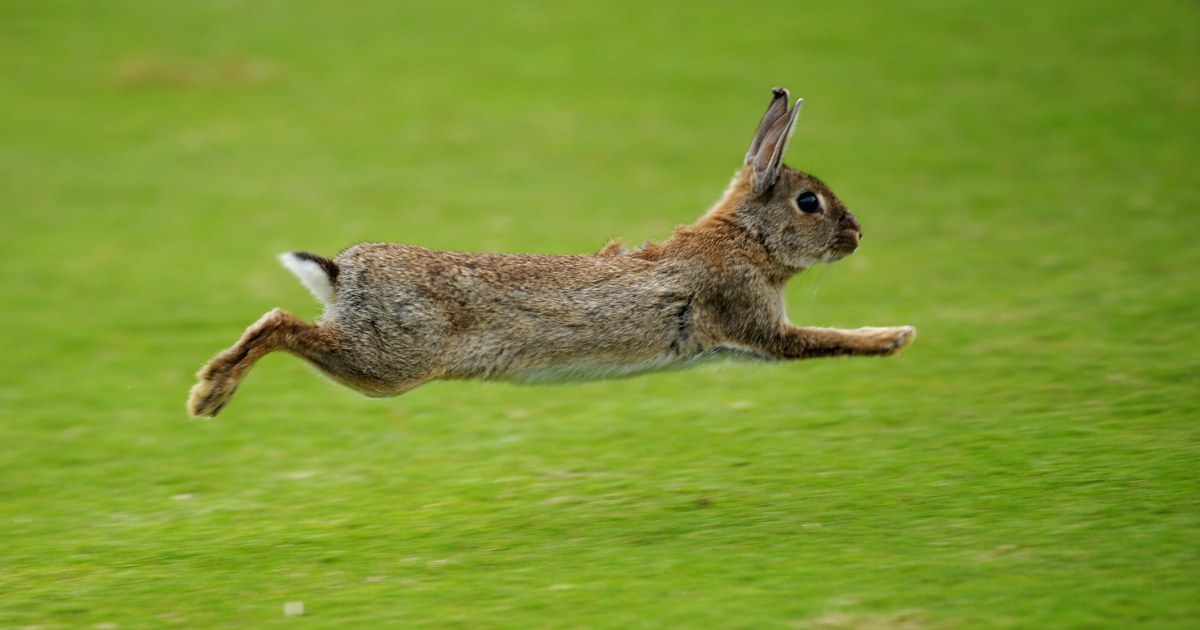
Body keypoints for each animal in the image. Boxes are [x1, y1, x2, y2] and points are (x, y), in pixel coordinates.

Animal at [187, 87, 915, 418]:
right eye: (809, 203)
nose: (857, 237)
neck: (746, 238)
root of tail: (343, 276)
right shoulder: (755, 323)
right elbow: (824, 341)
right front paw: (895, 338)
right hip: (389, 362)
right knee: (283, 325)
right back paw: (209, 394)